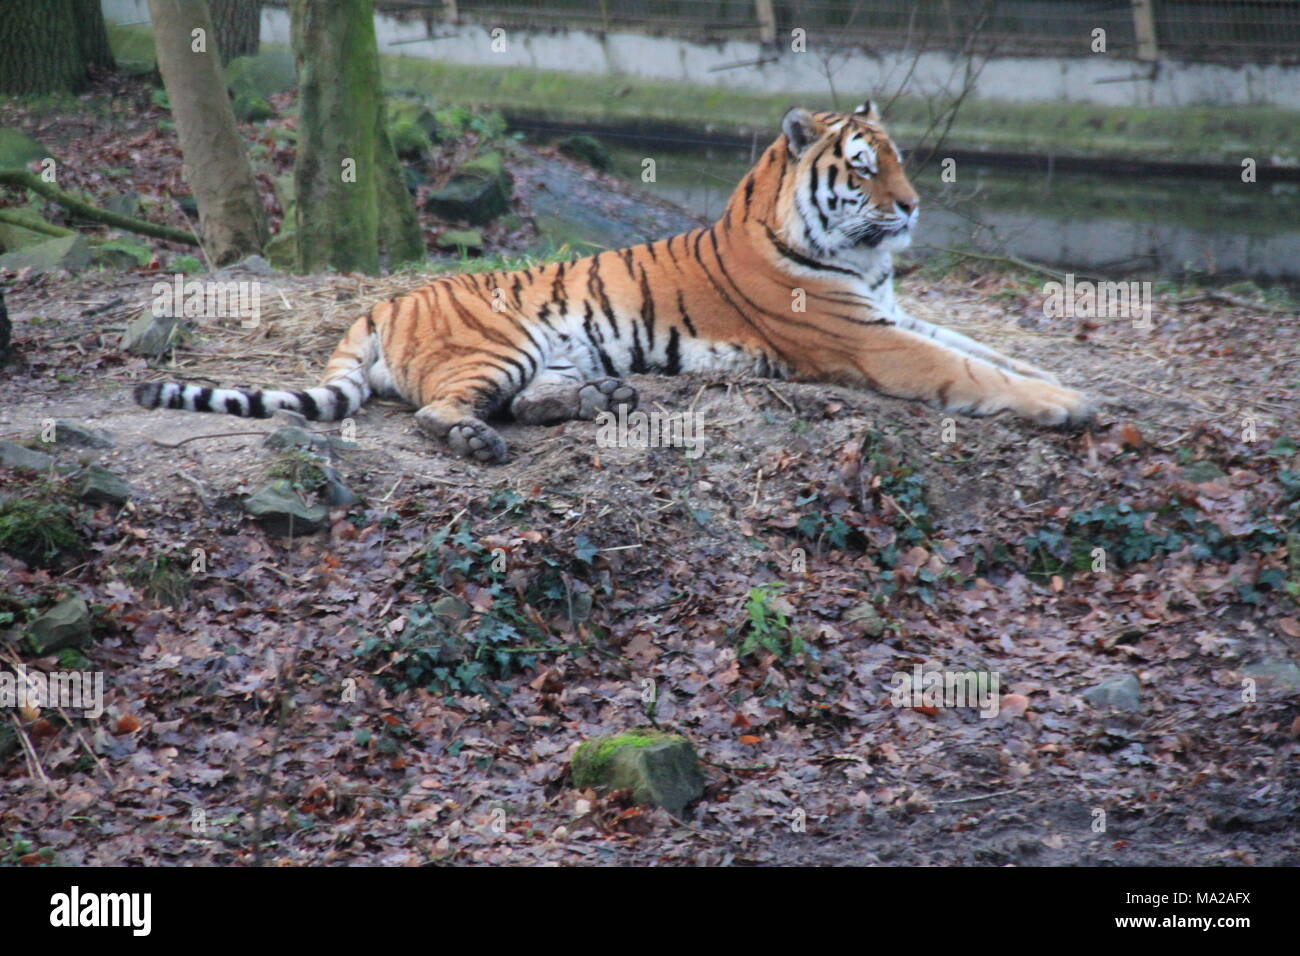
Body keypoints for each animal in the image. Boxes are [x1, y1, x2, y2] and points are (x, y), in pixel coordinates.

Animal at [134, 100, 1095, 463]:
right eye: (864, 168)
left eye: (896, 159)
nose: (914, 205)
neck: (857, 256)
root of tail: (384, 298)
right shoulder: (867, 338)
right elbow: (962, 367)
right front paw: (1069, 407)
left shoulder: (889, 314)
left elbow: (984, 346)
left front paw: (1061, 379)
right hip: (500, 342)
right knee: (441, 412)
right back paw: (482, 438)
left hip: (549, 350)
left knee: (527, 401)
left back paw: (603, 400)